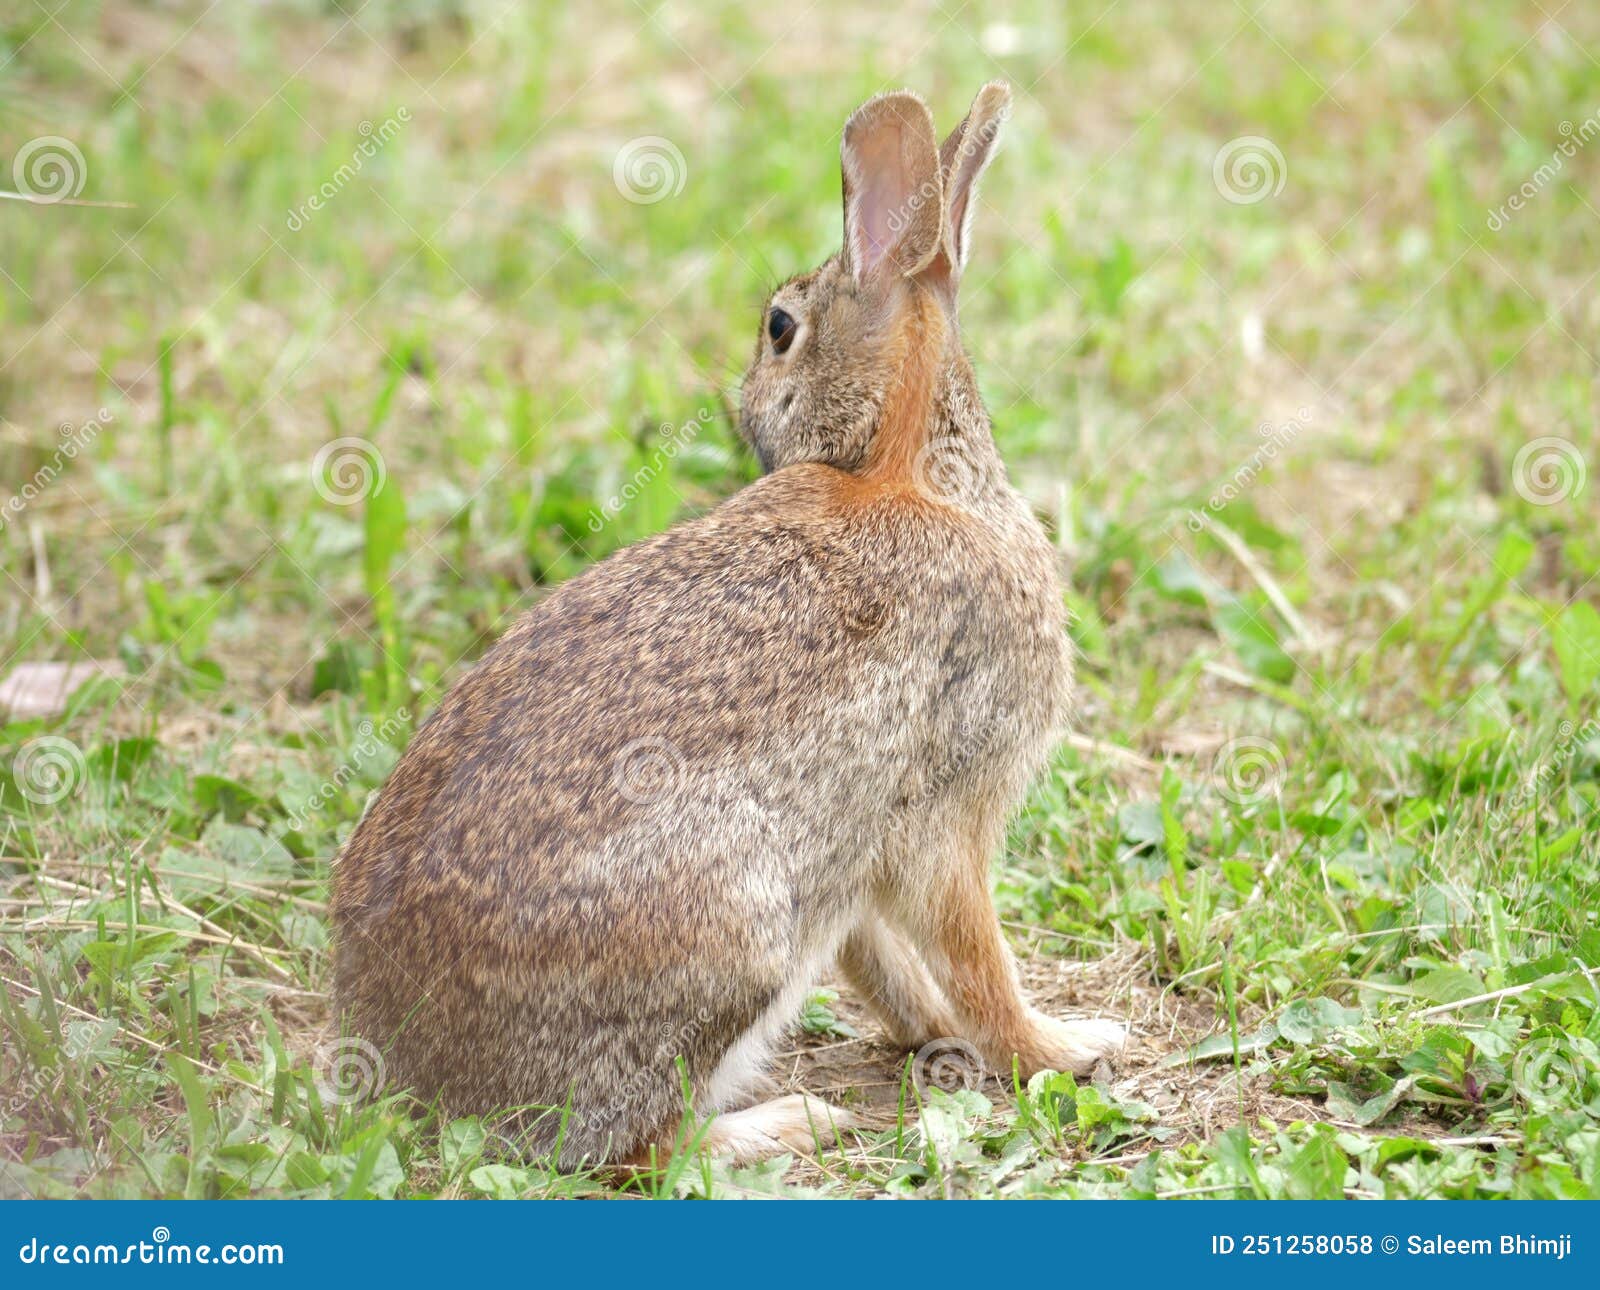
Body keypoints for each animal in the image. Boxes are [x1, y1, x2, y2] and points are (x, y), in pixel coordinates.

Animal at [331, 81, 1126, 1168]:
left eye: (779, 327)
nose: (740, 405)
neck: (905, 470)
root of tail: (414, 1072)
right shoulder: (944, 810)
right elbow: (978, 959)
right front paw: (1064, 1048)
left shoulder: (859, 852)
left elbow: (890, 960)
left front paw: (943, 1036)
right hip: (739, 930)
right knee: (643, 1154)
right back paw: (790, 1124)